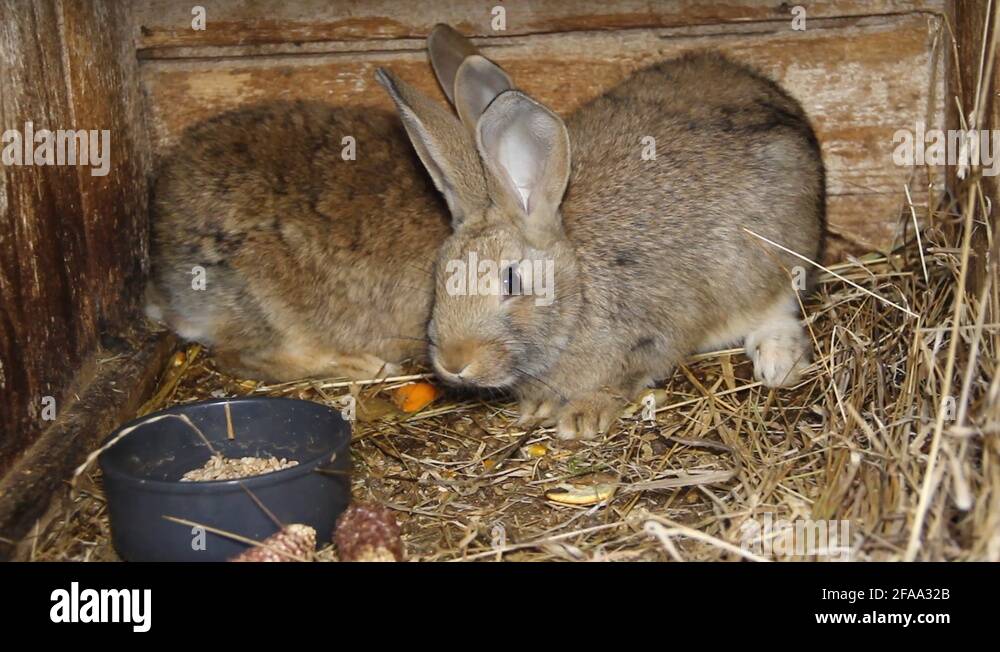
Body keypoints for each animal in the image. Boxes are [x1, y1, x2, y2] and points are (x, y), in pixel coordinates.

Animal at [377, 27, 825, 439]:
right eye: (439, 275)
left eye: (511, 281)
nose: (454, 363)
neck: (578, 294)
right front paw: (539, 407)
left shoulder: (654, 335)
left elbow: (625, 378)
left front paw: (582, 416)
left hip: (776, 261)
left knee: (781, 310)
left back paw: (777, 364)